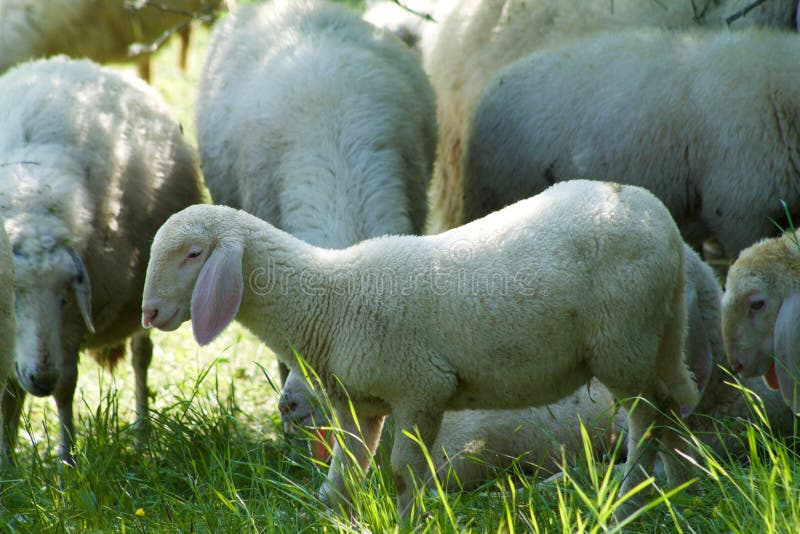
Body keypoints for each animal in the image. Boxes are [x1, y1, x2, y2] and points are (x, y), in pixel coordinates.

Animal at [0, 56, 204, 465]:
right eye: (13, 299)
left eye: (64, 298)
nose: (41, 380)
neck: (28, 197)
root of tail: (82, 63)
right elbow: (7, 395)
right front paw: (7, 463)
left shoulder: (72, 325)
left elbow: (65, 388)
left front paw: (66, 461)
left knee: (142, 357)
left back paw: (142, 436)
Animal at [141, 179, 700, 520]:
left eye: (193, 254)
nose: (148, 313)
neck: (326, 299)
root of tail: (656, 216)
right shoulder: (358, 405)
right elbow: (344, 478)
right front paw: (335, 517)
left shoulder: (421, 388)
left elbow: (403, 473)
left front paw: (410, 520)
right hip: (660, 333)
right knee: (678, 402)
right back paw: (683, 488)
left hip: (621, 341)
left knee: (648, 415)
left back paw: (627, 504)